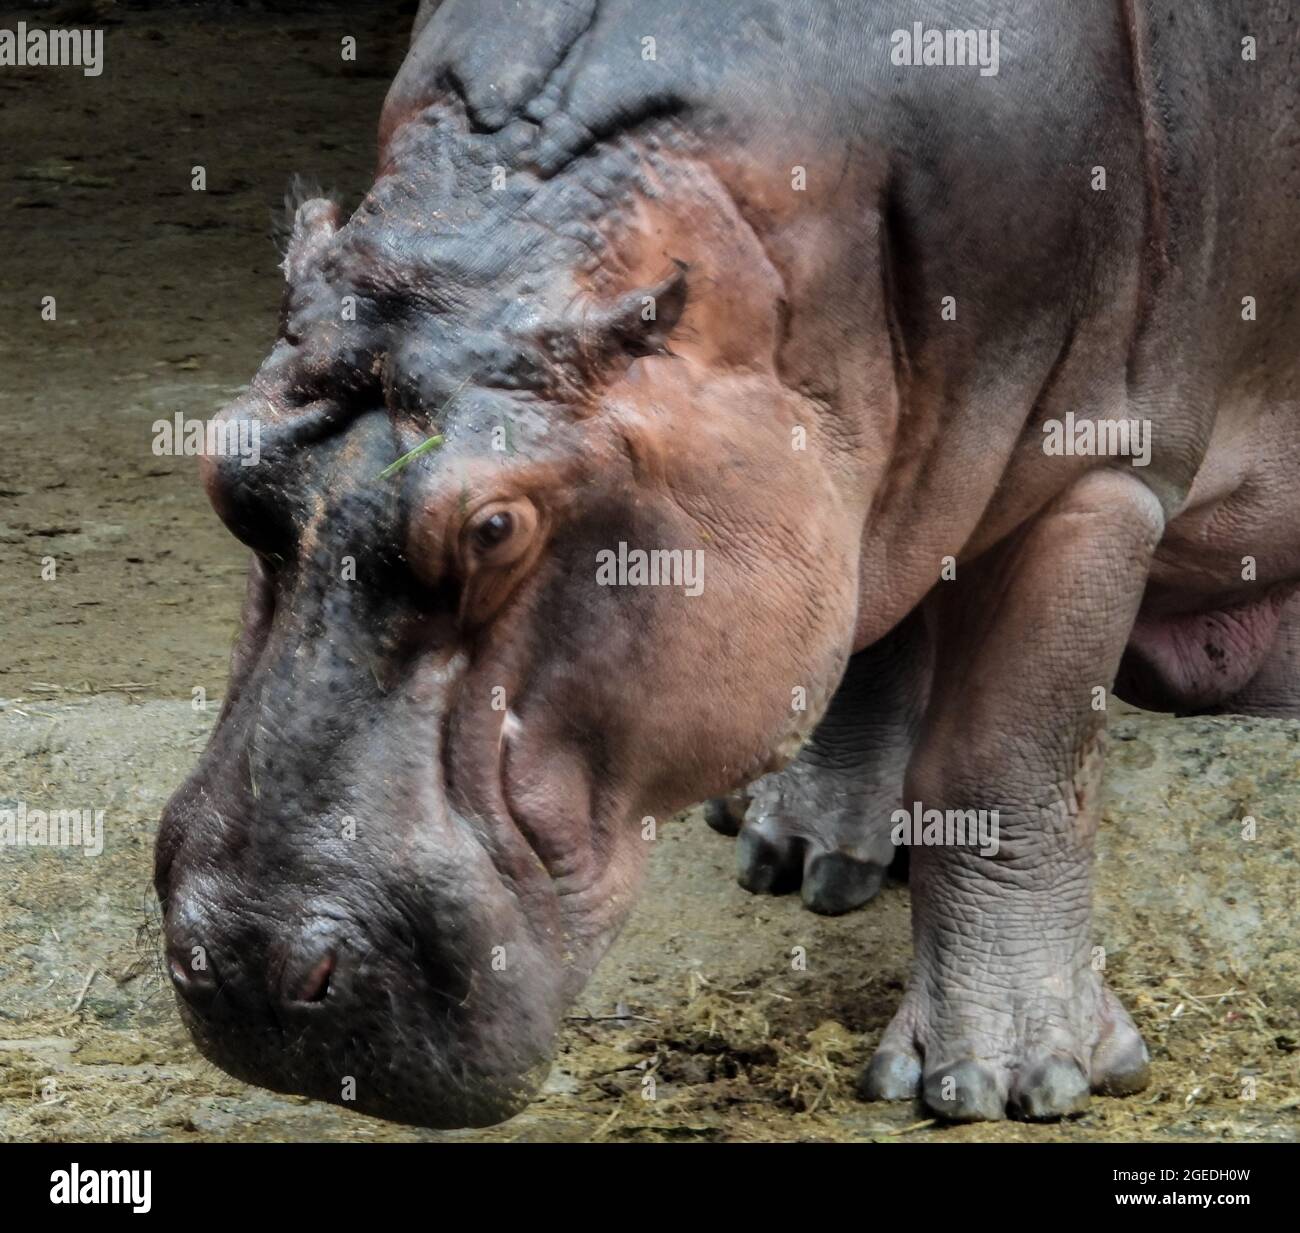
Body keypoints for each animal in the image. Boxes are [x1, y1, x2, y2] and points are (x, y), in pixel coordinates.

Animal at [155, 0, 1300, 1127]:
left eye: (494, 528)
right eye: (220, 461)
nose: (249, 964)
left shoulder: (1098, 468)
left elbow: (1008, 755)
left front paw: (1006, 1080)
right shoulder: (860, 458)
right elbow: (864, 626)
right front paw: (805, 855)